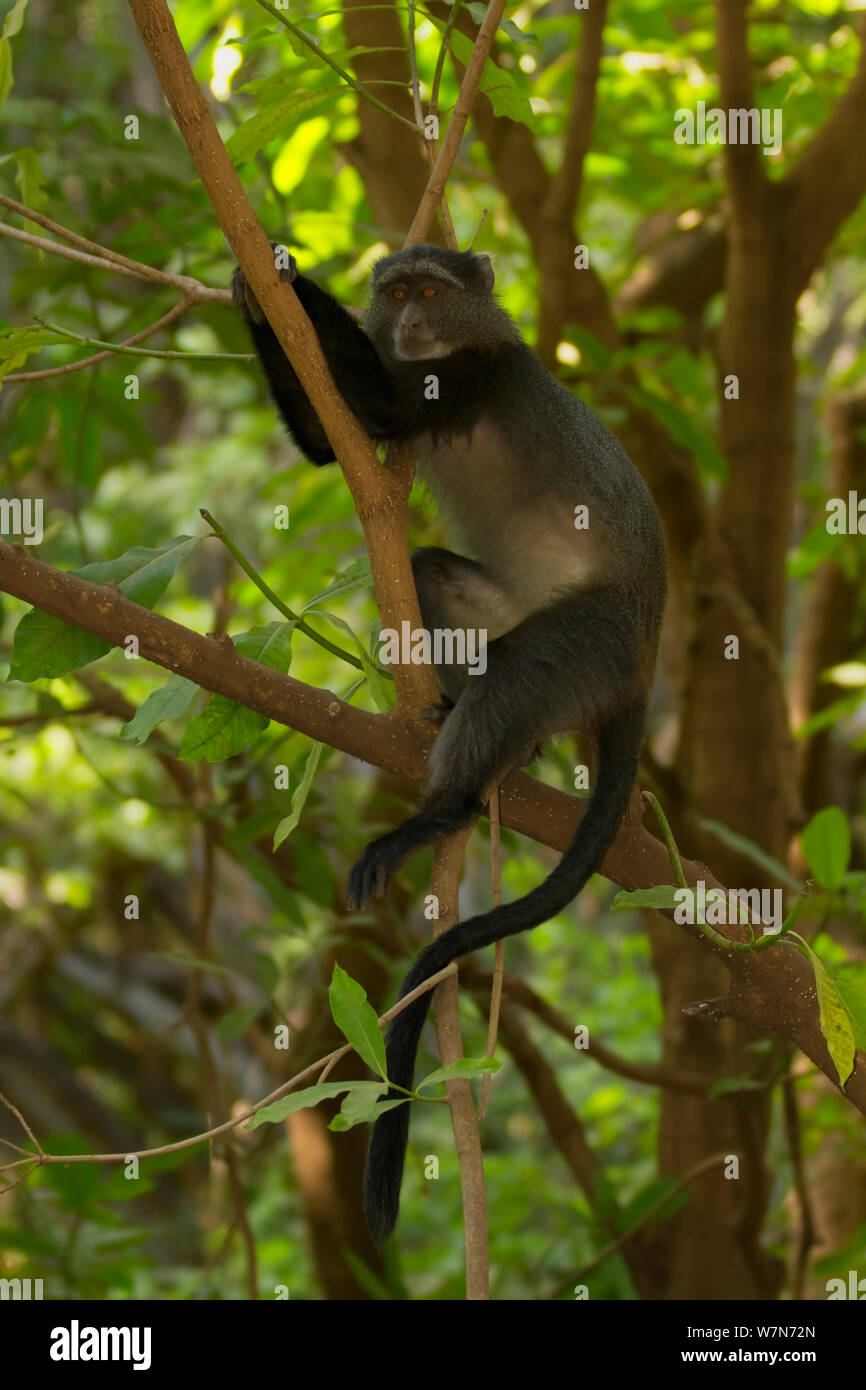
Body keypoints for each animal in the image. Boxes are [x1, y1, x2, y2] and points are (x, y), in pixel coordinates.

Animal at [233, 243, 667, 1244]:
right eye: (395, 293)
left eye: (431, 292)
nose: (409, 321)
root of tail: (642, 664)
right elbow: (336, 437)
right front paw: (254, 293)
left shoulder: (468, 374)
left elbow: (382, 410)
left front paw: (280, 272)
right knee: (433, 571)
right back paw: (463, 721)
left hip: (589, 638)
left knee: (518, 672)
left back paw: (447, 810)